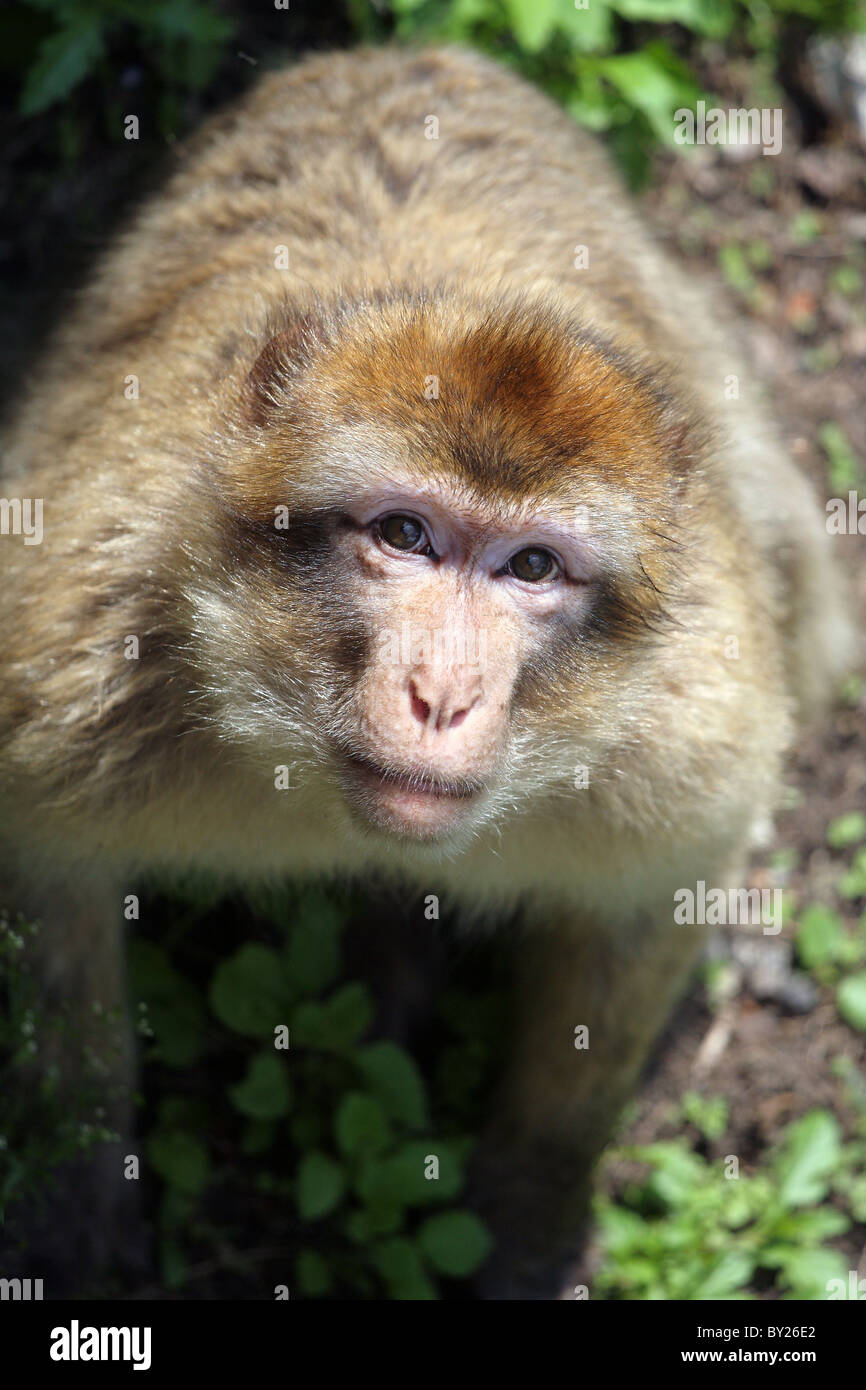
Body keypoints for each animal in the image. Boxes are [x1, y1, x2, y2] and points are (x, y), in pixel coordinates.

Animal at [0, 43, 852, 1300]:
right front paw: (70, 1209)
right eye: (404, 535)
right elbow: (44, 886)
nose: (440, 694)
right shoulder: (78, 665)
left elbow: (654, 905)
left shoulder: (679, 739)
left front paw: (533, 1206)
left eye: (531, 565)